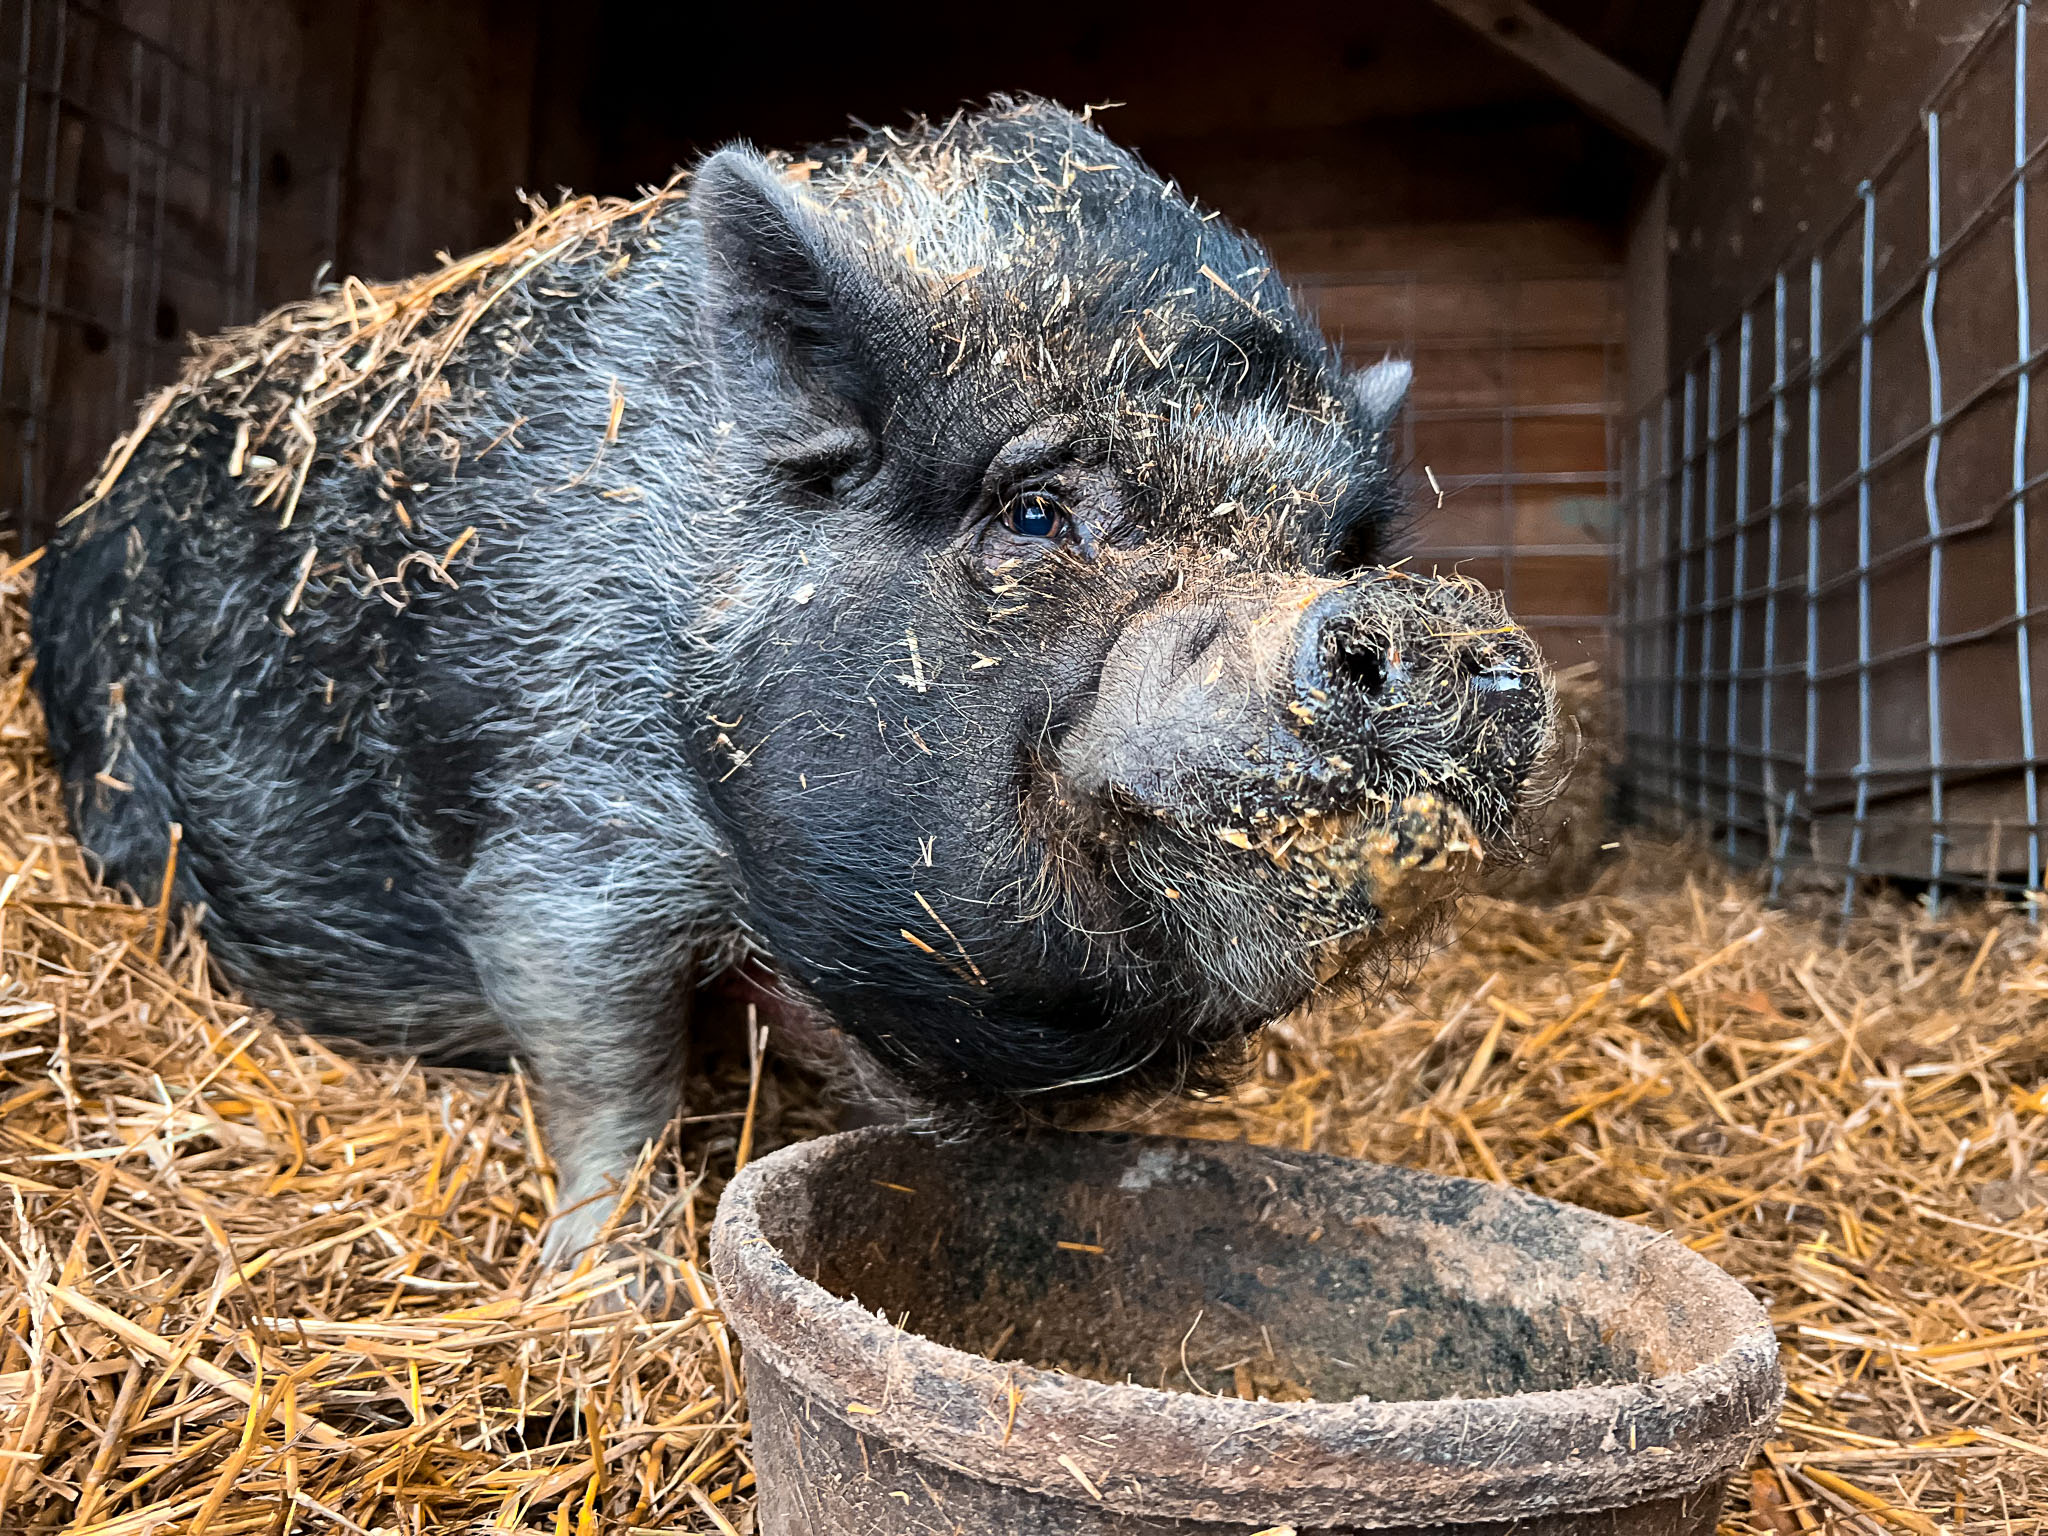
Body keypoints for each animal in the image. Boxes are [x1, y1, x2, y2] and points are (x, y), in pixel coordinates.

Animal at [32, 100, 1556, 1263]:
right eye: (1038, 512)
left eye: (1338, 547)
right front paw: (608, 1288)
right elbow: (606, 1076)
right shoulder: (561, 833)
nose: (1432, 628)